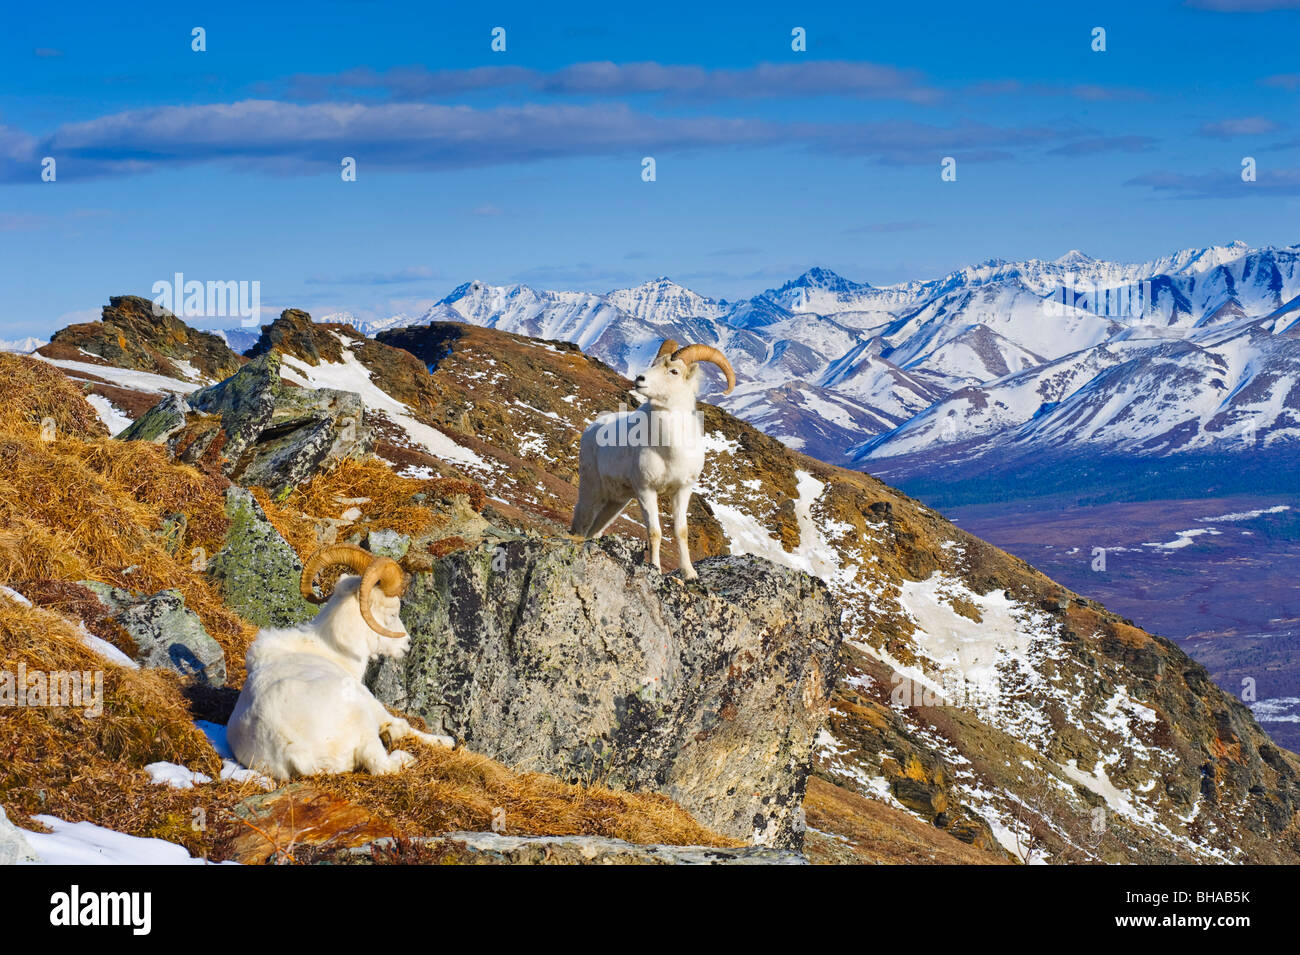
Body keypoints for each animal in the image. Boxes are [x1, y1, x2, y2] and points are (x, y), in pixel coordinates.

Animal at [227, 544, 453, 781]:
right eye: (393, 612)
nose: (407, 644)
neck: (330, 650)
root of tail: (294, 752)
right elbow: (403, 725)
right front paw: (447, 742)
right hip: (361, 716)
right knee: (381, 763)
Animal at [570, 339, 736, 580]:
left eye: (674, 371)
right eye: (654, 364)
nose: (640, 379)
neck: (669, 450)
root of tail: (592, 428)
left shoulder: (682, 491)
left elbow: (681, 531)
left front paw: (689, 573)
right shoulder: (646, 490)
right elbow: (654, 532)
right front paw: (655, 568)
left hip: (616, 502)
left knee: (596, 529)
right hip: (591, 491)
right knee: (581, 523)